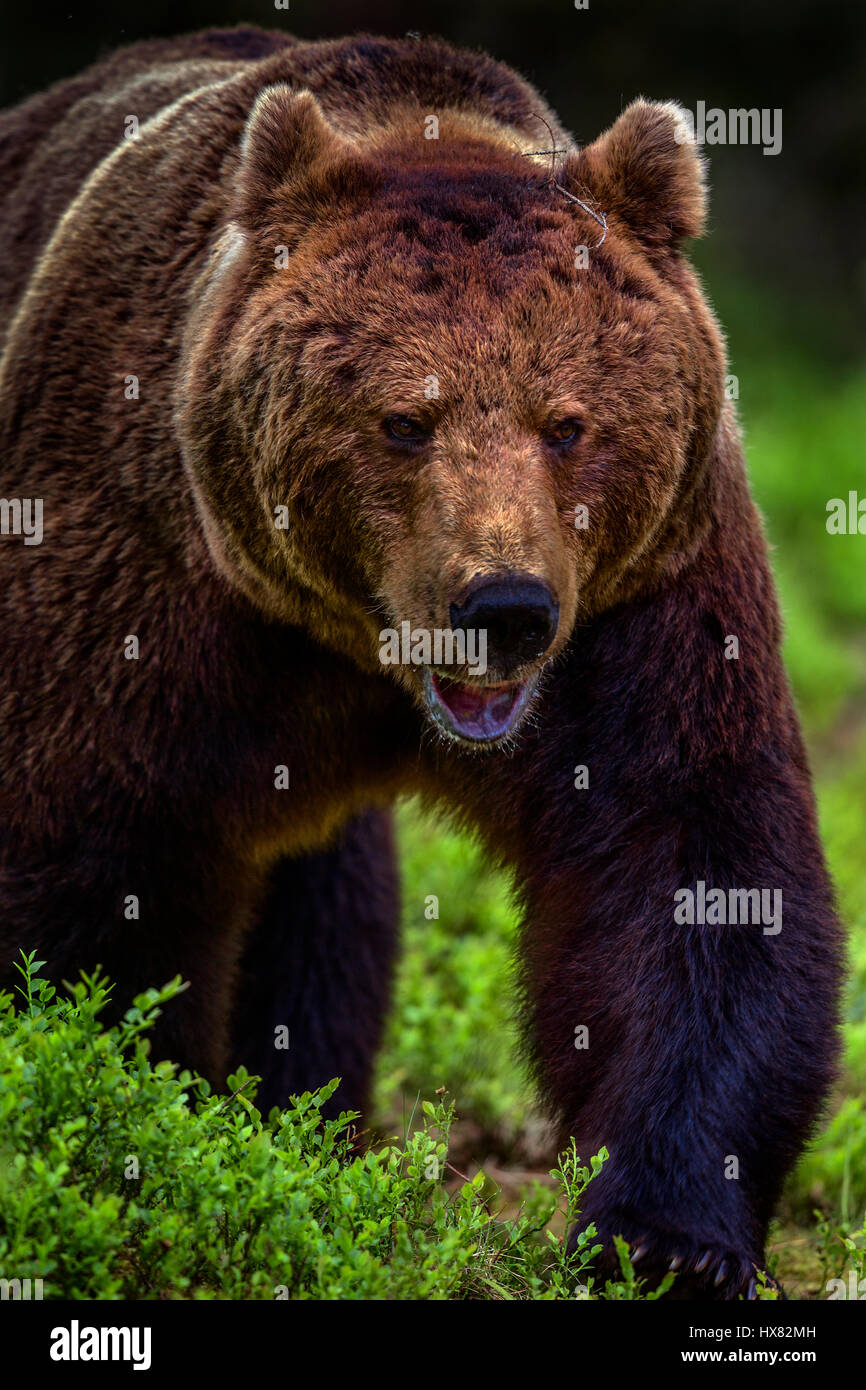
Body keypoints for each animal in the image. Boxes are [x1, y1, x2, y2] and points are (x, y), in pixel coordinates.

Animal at [0, 25, 843, 1299]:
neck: (360, 647)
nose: (501, 609)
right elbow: (95, 871)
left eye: (567, 422)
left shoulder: (641, 608)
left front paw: (664, 1234)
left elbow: (690, 864)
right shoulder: (145, 573)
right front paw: (144, 1112)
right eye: (402, 419)